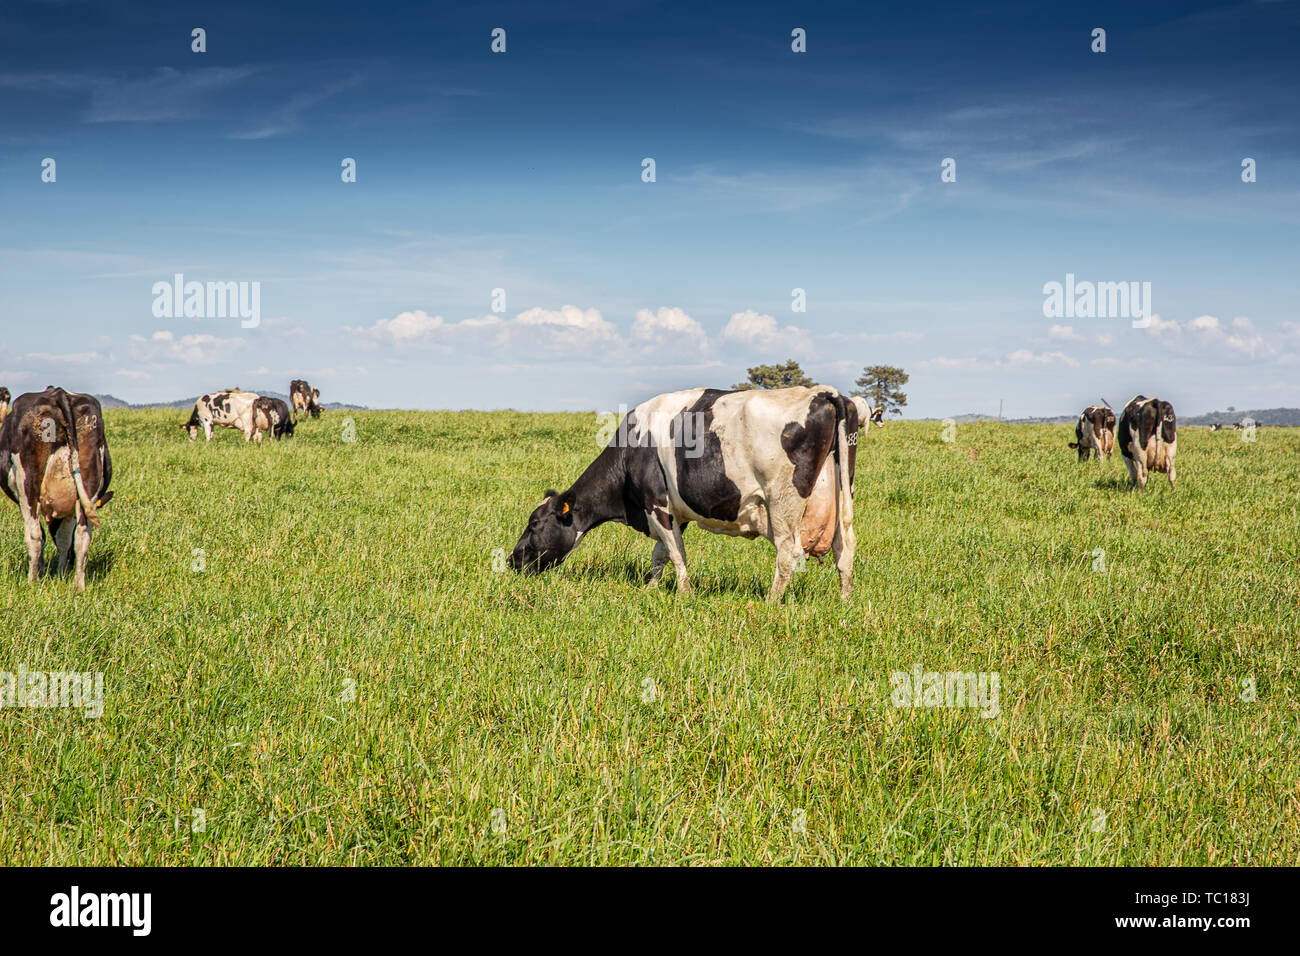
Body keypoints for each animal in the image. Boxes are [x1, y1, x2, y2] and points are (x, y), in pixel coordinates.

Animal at [0, 387, 112, 591]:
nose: (70, 562)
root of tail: (60, 393)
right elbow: (65, 538)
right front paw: (61, 574)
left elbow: (45, 536)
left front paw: (43, 570)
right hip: (88, 484)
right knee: (82, 536)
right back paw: (78, 586)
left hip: (28, 484)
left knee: (34, 534)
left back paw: (32, 582)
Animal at [509, 385, 873, 602]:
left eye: (534, 524)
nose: (513, 559)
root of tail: (823, 392)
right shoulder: (672, 510)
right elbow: (661, 553)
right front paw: (651, 588)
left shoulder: (655, 501)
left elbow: (676, 553)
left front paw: (684, 594)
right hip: (843, 491)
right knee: (845, 547)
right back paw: (845, 600)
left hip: (783, 500)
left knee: (789, 552)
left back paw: (771, 602)